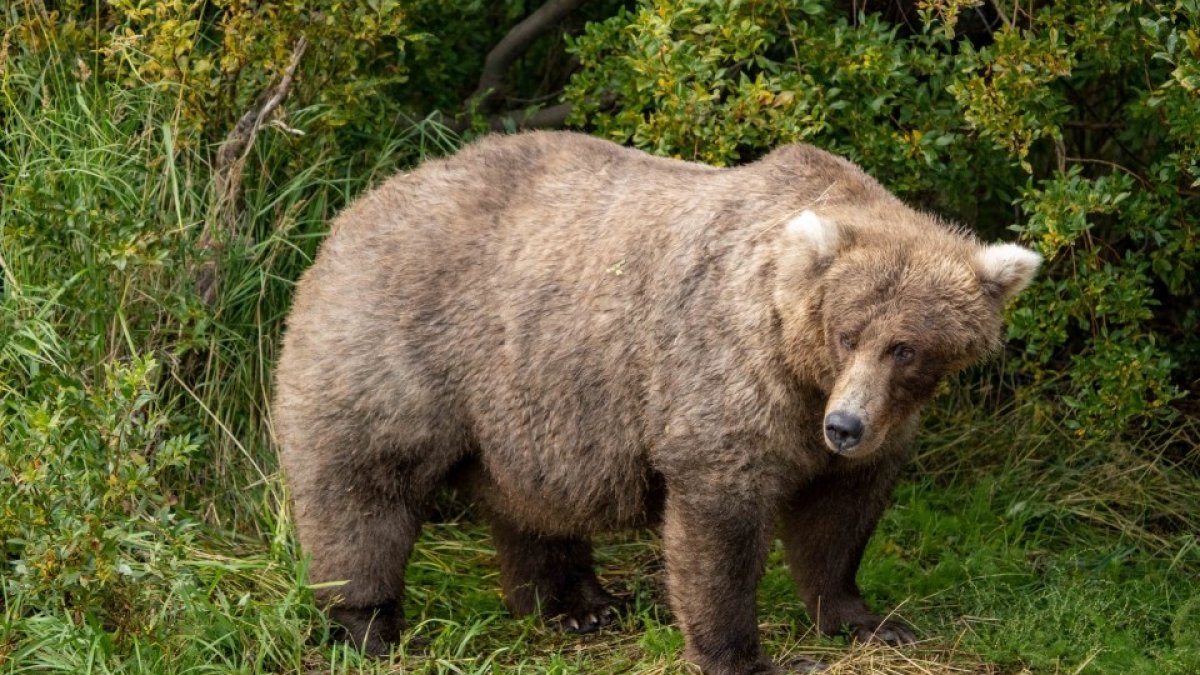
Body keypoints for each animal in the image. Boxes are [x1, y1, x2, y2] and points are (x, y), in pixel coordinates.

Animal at [273, 131, 1041, 674]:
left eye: (906, 348)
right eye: (848, 331)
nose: (845, 426)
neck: (800, 368)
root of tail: (354, 209)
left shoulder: (868, 424)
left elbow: (839, 517)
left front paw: (870, 619)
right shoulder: (728, 377)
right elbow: (720, 518)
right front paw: (744, 654)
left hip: (525, 396)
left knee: (531, 499)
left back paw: (577, 606)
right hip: (402, 346)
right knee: (364, 485)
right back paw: (368, 624)